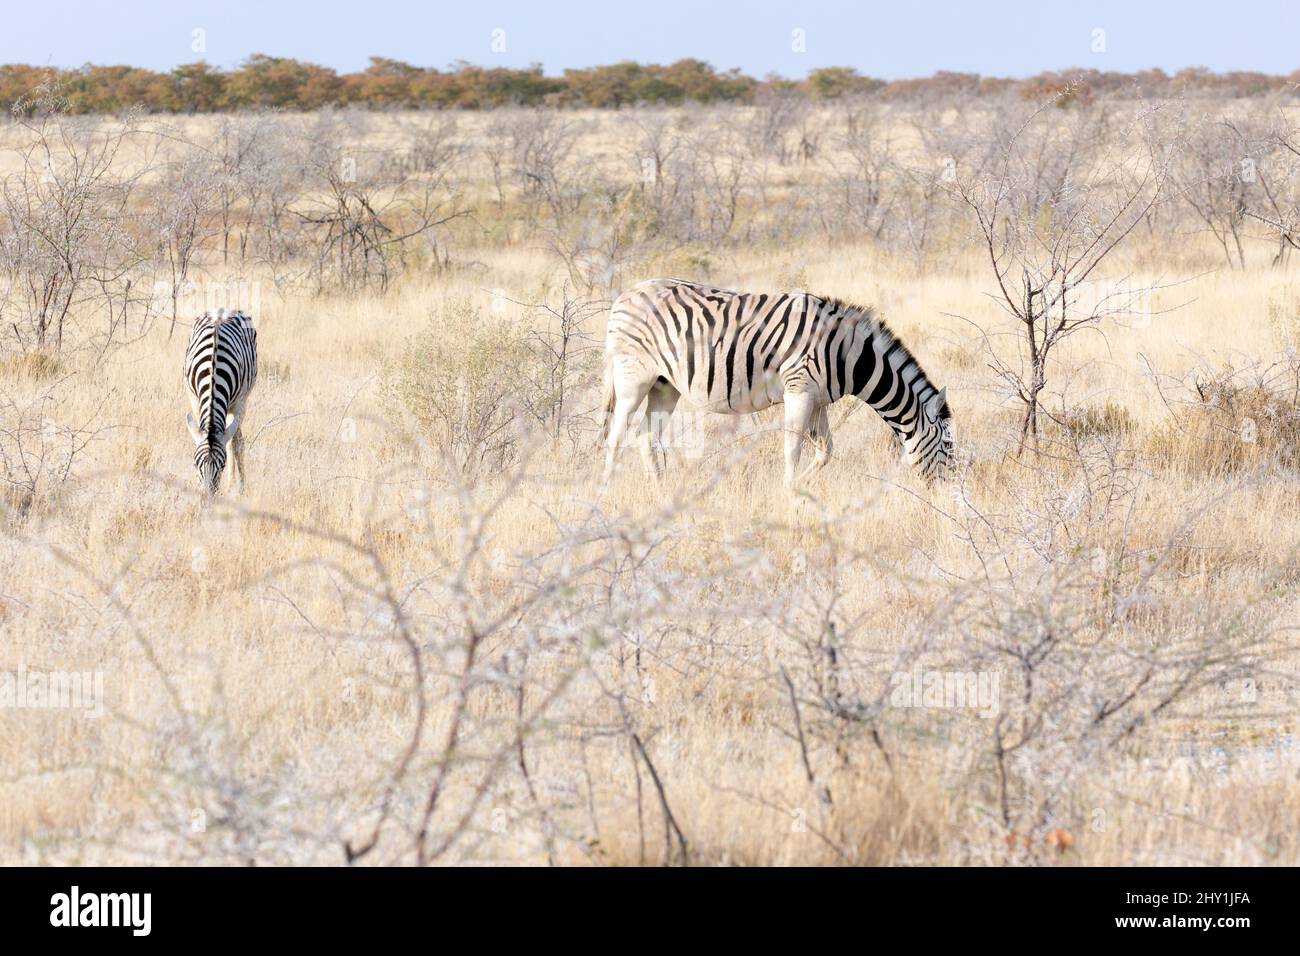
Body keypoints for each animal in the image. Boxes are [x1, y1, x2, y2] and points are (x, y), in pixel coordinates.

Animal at [184, 308, 258, 495]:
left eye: (222, 466)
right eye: (195, 464)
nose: (207, 498)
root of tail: (224, 310)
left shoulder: (239, 404)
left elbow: (236, 444)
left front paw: (238, 488)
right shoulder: (195, 400)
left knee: (235, 442)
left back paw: (233, 484)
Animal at [600, 278, 953, 486]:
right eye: (948, 446)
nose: (951, 490)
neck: (847, 354)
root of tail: (625, 294)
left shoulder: (817, 399)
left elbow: (825, 451)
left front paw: (802, 488)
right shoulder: (798, 389)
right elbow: (792, 449)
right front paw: (789, 497)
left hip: (664, 384)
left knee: (646, 434)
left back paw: (659, 490)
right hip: (633, 378)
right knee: (617, 436)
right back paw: (607, 491)